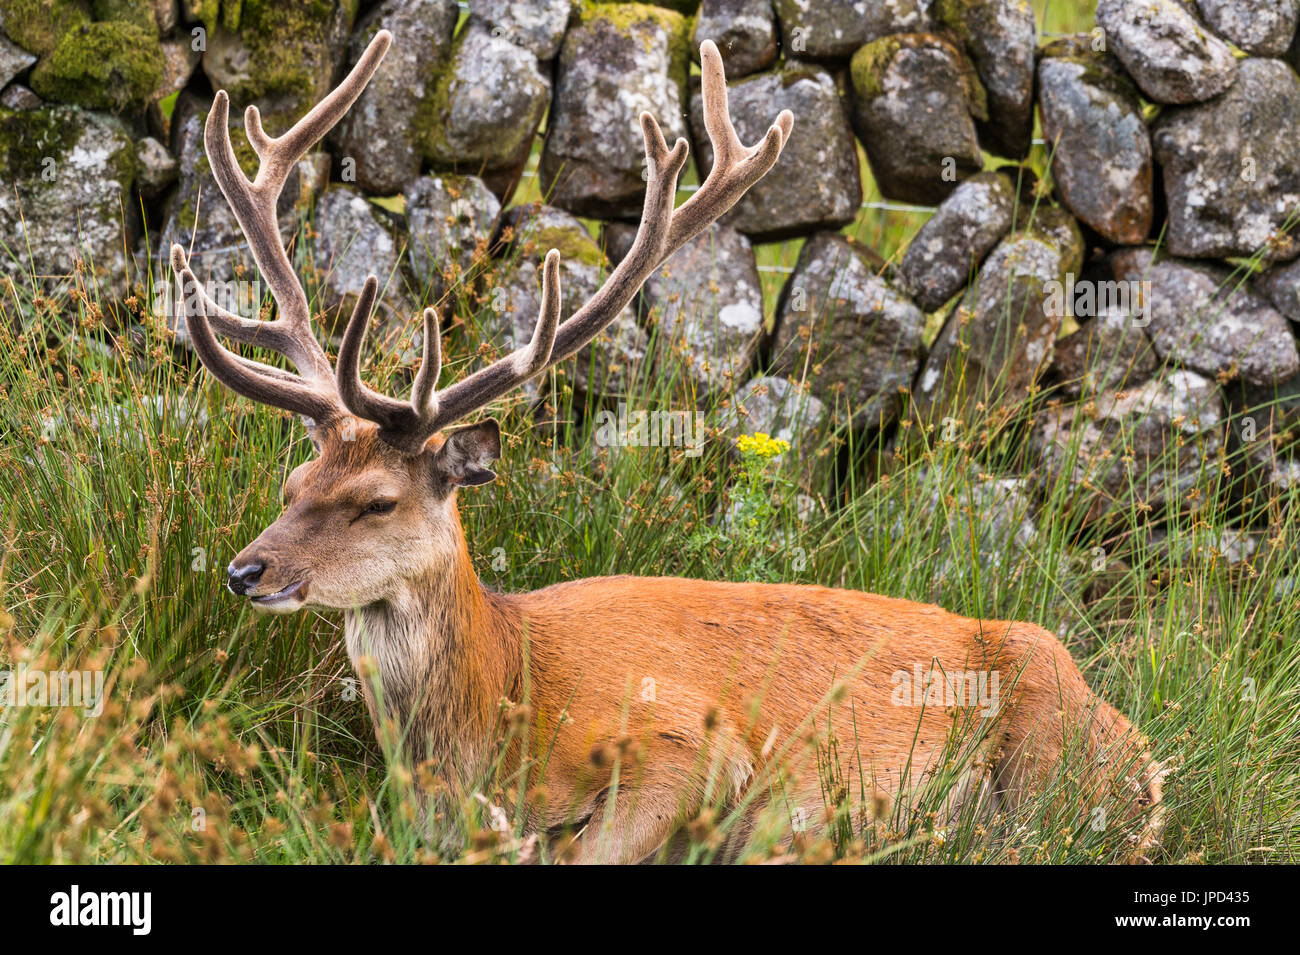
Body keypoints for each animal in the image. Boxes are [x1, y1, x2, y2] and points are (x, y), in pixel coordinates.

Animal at [170, 30, 1165, 864]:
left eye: (377, 499)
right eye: (293, 480)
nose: (246, 570)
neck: (495, 712)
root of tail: (1149, 754)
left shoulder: (688, 741)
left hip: (1063, 772)